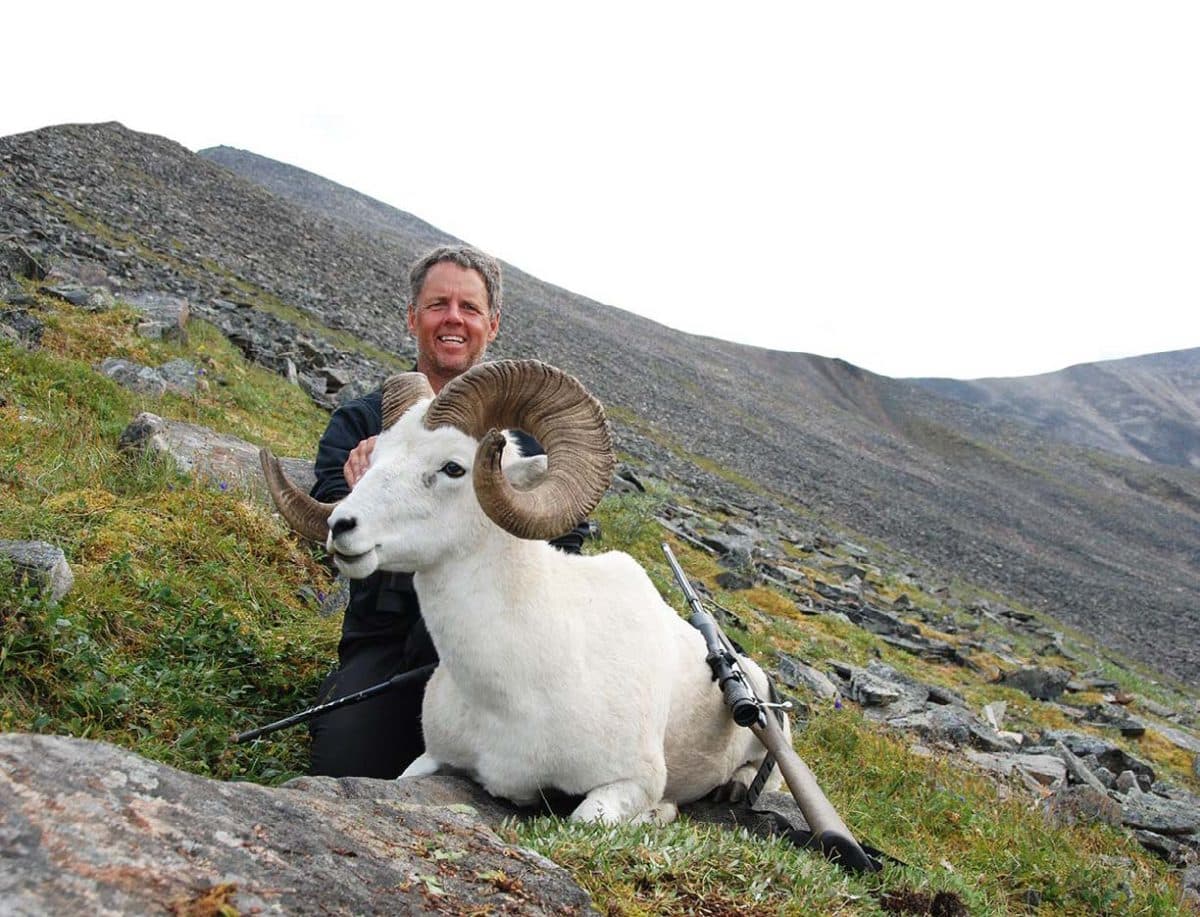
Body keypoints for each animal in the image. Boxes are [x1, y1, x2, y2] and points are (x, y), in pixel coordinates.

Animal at [261, 359, 785, 825]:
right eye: (374, 456)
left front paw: (660, 813)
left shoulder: (630, 783)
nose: (341, 527)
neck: (517, 686)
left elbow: (589, 819)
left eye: (453, 468)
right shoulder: (433, 757)